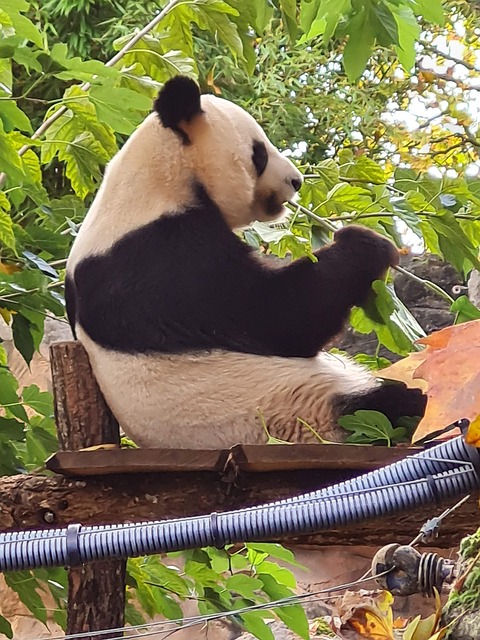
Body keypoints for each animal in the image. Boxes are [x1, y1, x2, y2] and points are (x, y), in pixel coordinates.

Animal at [66, 76, 426, 449]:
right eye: (259, 153)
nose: (296, 181)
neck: (156, 180)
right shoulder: (158, 258)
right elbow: (277, 317)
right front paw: (366, 244)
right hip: (298, 412)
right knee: (384, 407)